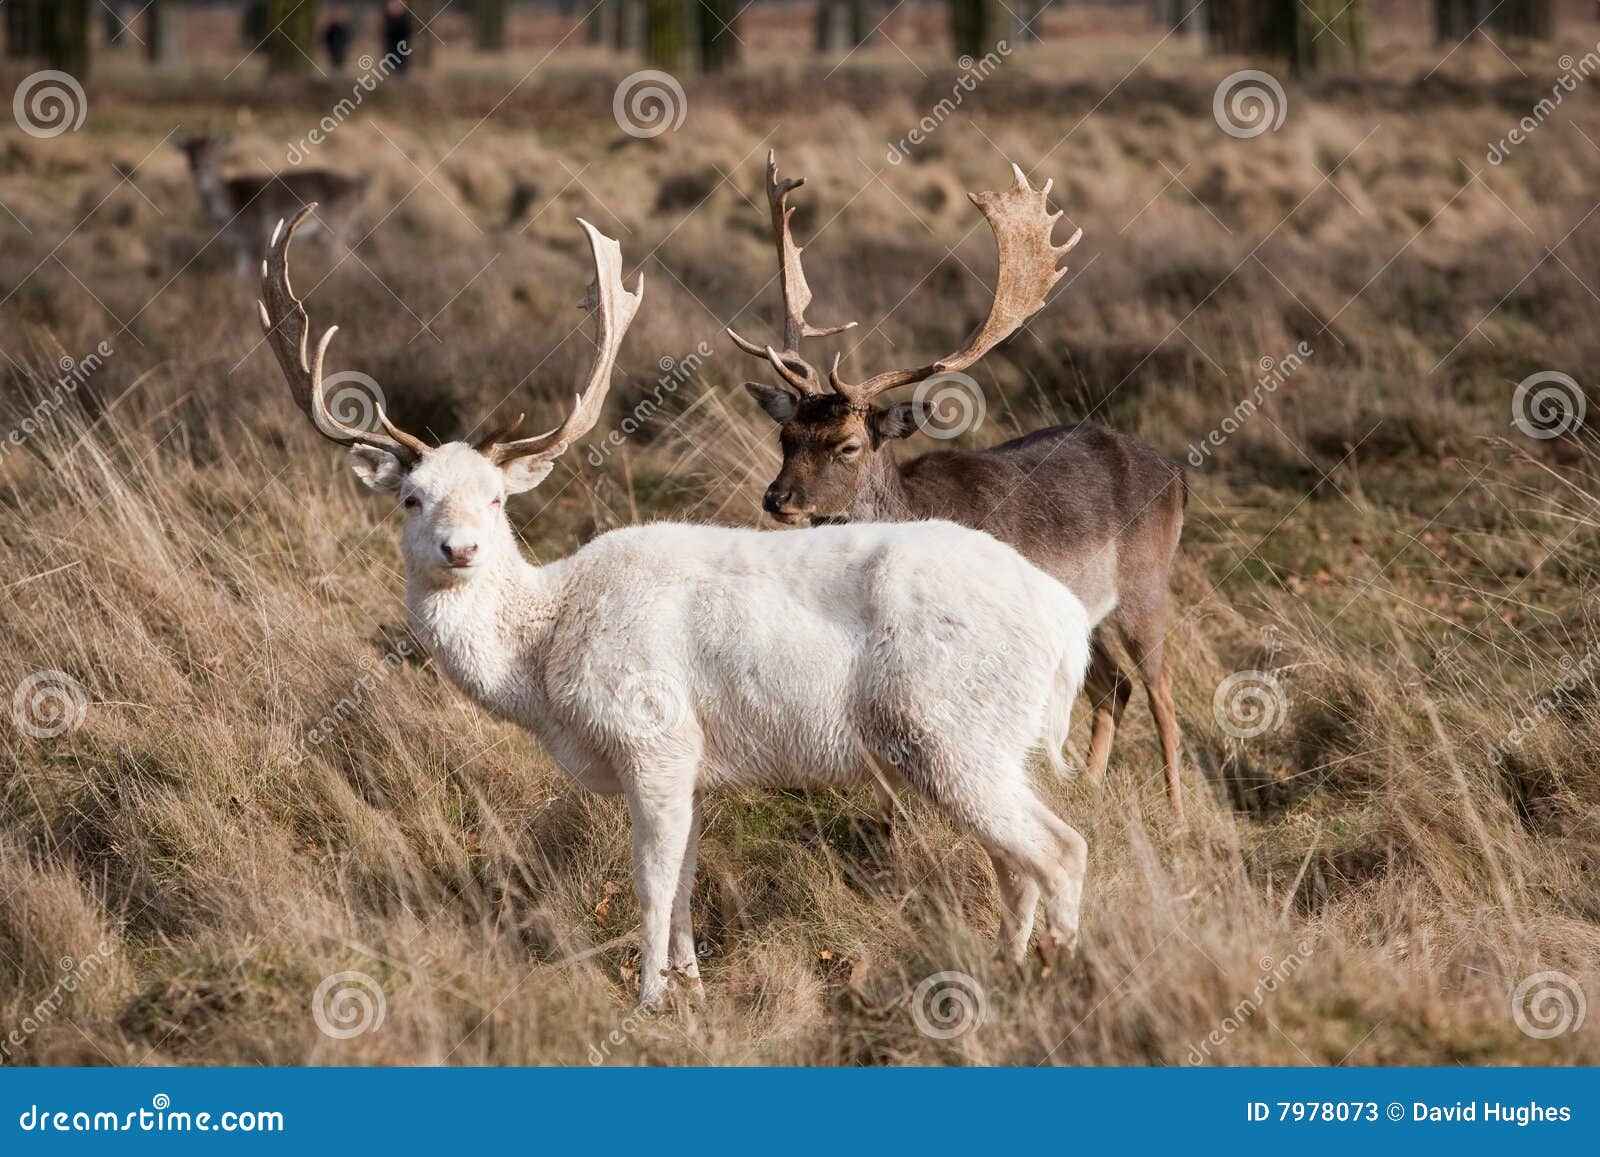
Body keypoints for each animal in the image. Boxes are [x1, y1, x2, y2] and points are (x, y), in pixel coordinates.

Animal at [177, 135, 366, 276]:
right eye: (188, 153)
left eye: (212, 153)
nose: (197, 167)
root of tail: (360, 187)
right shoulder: (240, 244)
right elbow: (240, 275)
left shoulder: (261, 232)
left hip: (337, 225)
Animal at [261, 206, 1096, 1009]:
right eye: (411, 496)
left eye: (497, 499)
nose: (459, 548)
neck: (545, 662)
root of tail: (1070, 628)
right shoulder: (693, 761)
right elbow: (689, 879)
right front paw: (692, 985)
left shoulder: (655, 735)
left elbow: (653, 881)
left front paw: (650, 1000)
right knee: (1016, 861)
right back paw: (1006, 970)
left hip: (952, 730)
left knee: (1061, 848)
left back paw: (1053, 978)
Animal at [731, 153, 1189, 821]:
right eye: (785, 434)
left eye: (849, 445)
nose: (778, 499)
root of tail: (1178, 473)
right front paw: (890, 823)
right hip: (1087, 610)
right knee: (1114, 687)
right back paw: (1090, 785)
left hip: (1145, 586)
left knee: (1161, 692)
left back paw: (1176, 815)